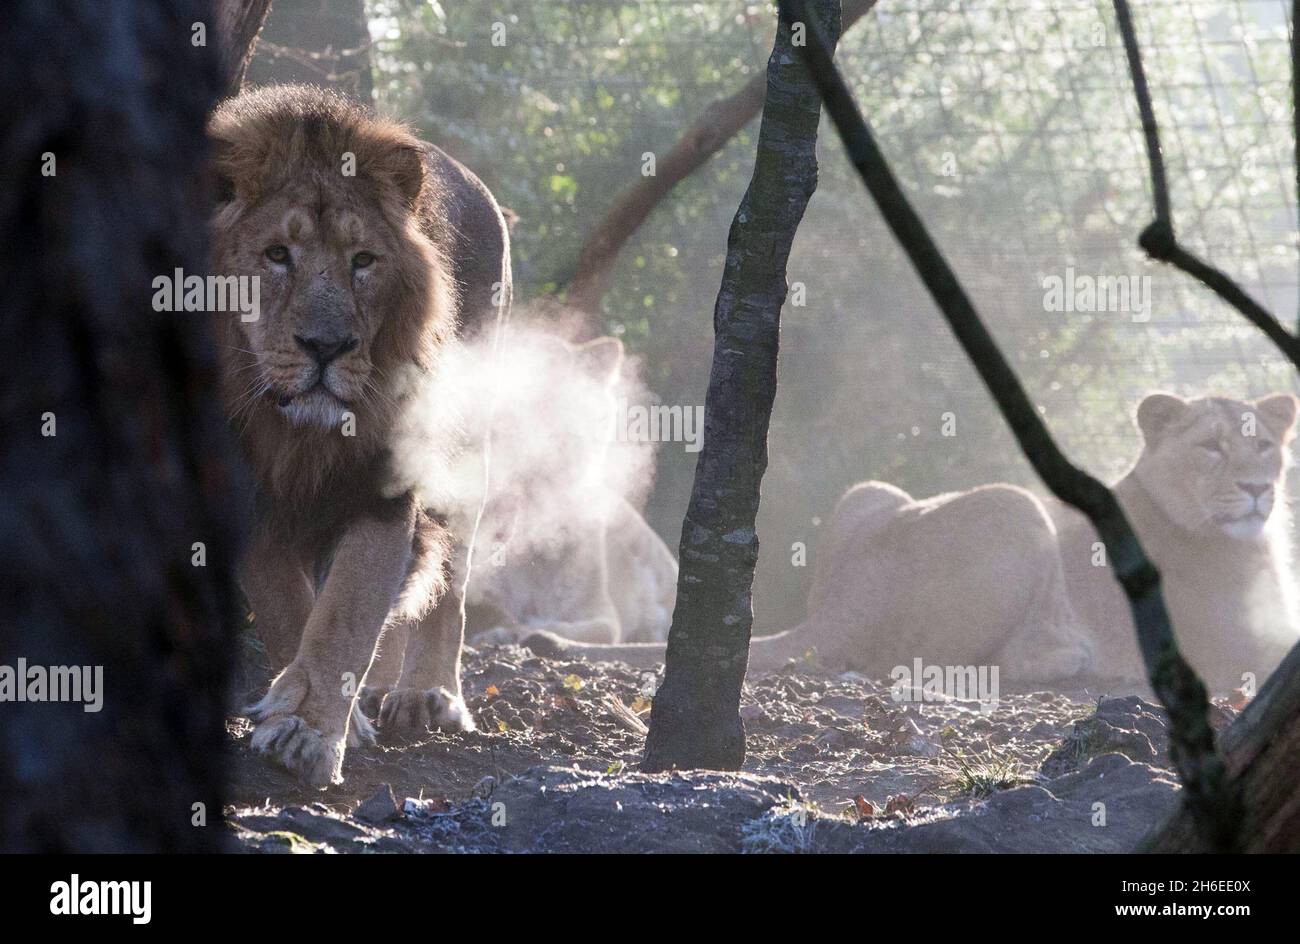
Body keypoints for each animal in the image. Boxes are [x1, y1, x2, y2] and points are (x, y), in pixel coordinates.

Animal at [208, 85, 511, 787]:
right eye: (277, 255)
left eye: (363, 262)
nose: (327, 347)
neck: (299, 434)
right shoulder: (252, 497)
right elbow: (293, 611)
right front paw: (303, 715)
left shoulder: (383, 488)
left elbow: (346, 612)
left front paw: (307, 735)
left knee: (447, 583)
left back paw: (426, 696)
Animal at [531, 394, 1300, 695]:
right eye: (1211, 448)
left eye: (1266, 445)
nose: (1258, 488)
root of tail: (841, 606)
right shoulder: (1231, 643)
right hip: (1018, 507)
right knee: (952, 667)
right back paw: (1069, 659)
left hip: (872, 495)